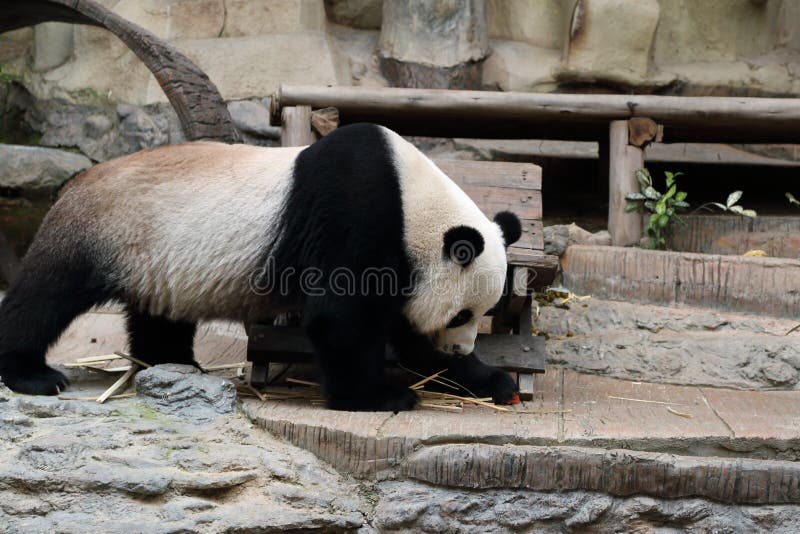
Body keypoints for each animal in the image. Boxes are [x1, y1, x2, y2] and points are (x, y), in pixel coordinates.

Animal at [0, 123, 522, 411]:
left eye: (479, 314)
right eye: (462, 314)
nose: (459, 346)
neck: (414, 201)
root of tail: (77, 180)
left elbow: (404, 333)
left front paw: (491, 381)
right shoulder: (358, 210)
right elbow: (341, 317)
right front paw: (379, 397)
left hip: (152, 256)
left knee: (158, 313)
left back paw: (173, 362)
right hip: (101, 228)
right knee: (46, 295)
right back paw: (32, 374)